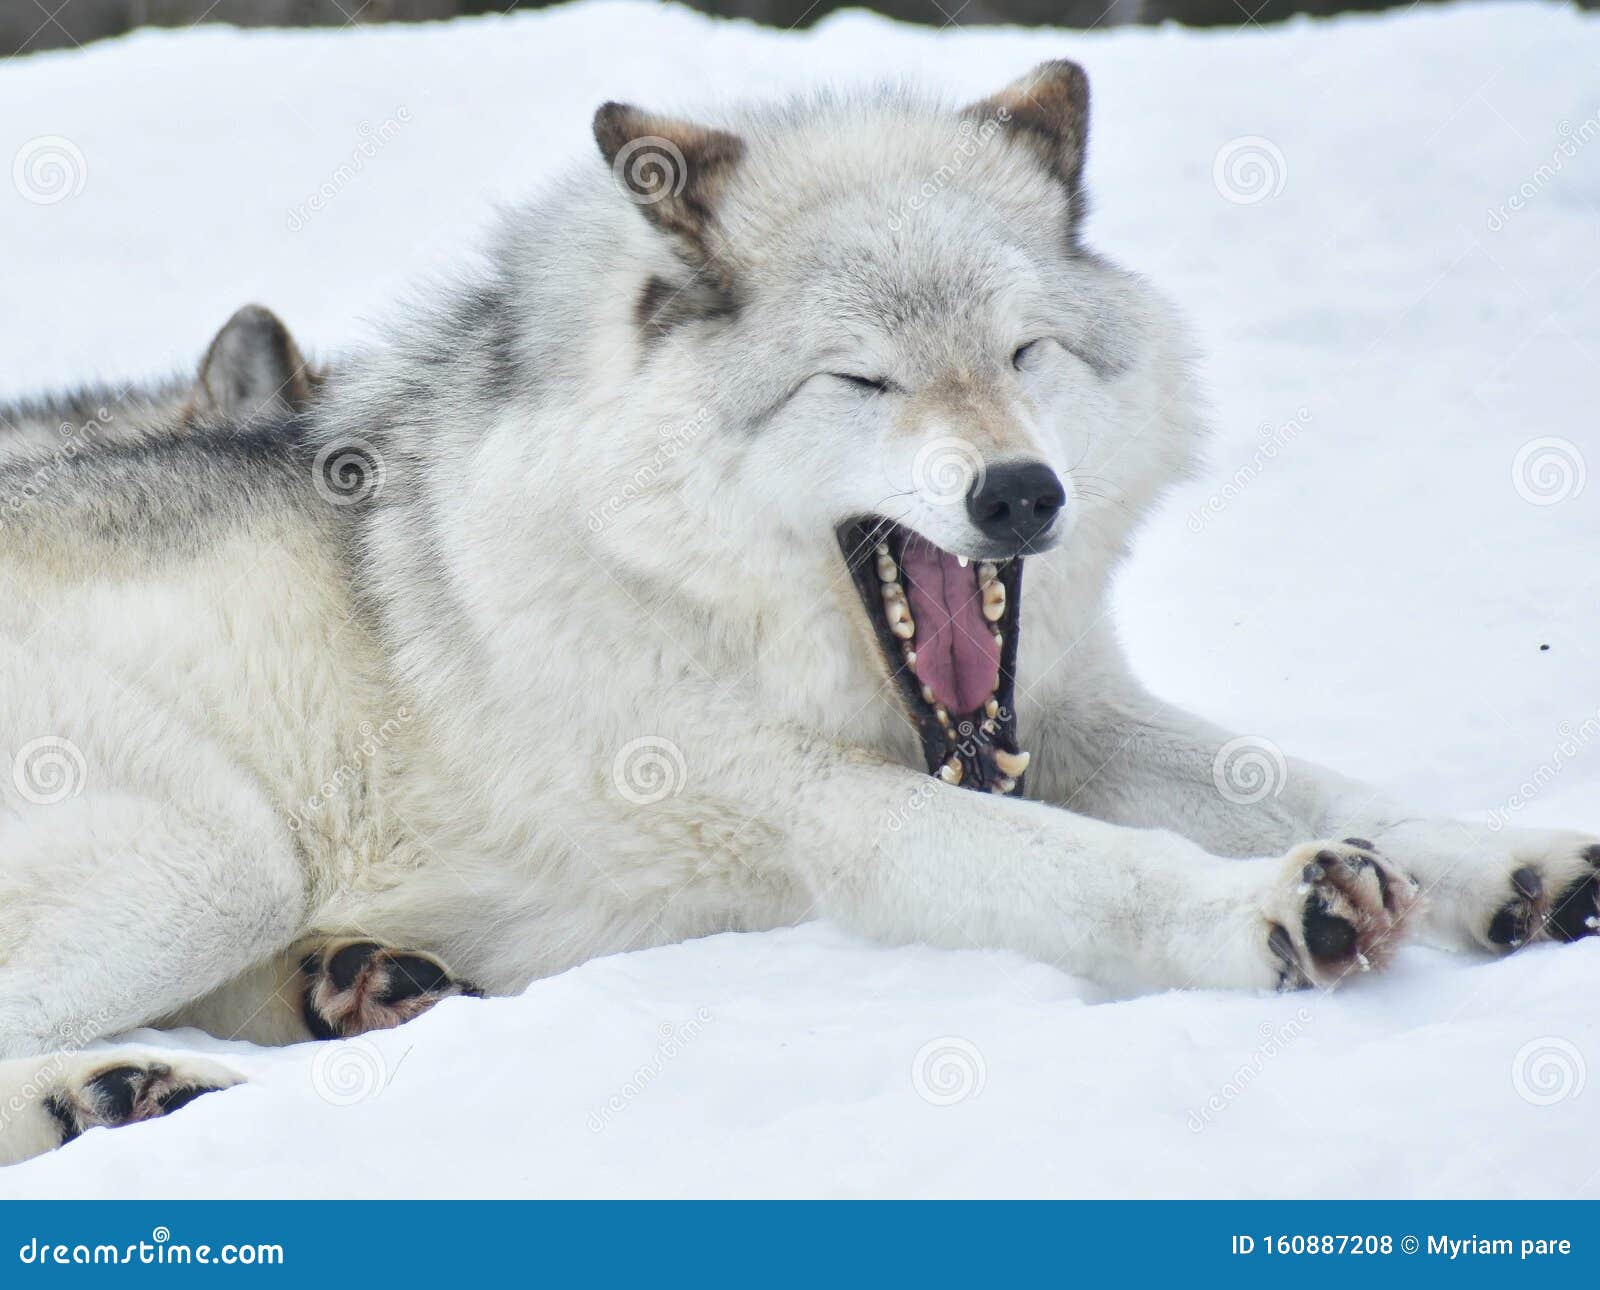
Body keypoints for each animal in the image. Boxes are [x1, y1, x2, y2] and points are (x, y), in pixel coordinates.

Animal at [1, 62, 1595, 1166]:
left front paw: (1518, 865)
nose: (1021, 494)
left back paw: (231, 1040)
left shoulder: (1071, 714)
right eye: (863, 380)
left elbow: (1330, 786)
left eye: (1022, 352)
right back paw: (113, 1088)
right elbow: (1097, 865)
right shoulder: (814, 805)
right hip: (212, 859)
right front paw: (1272, 906)